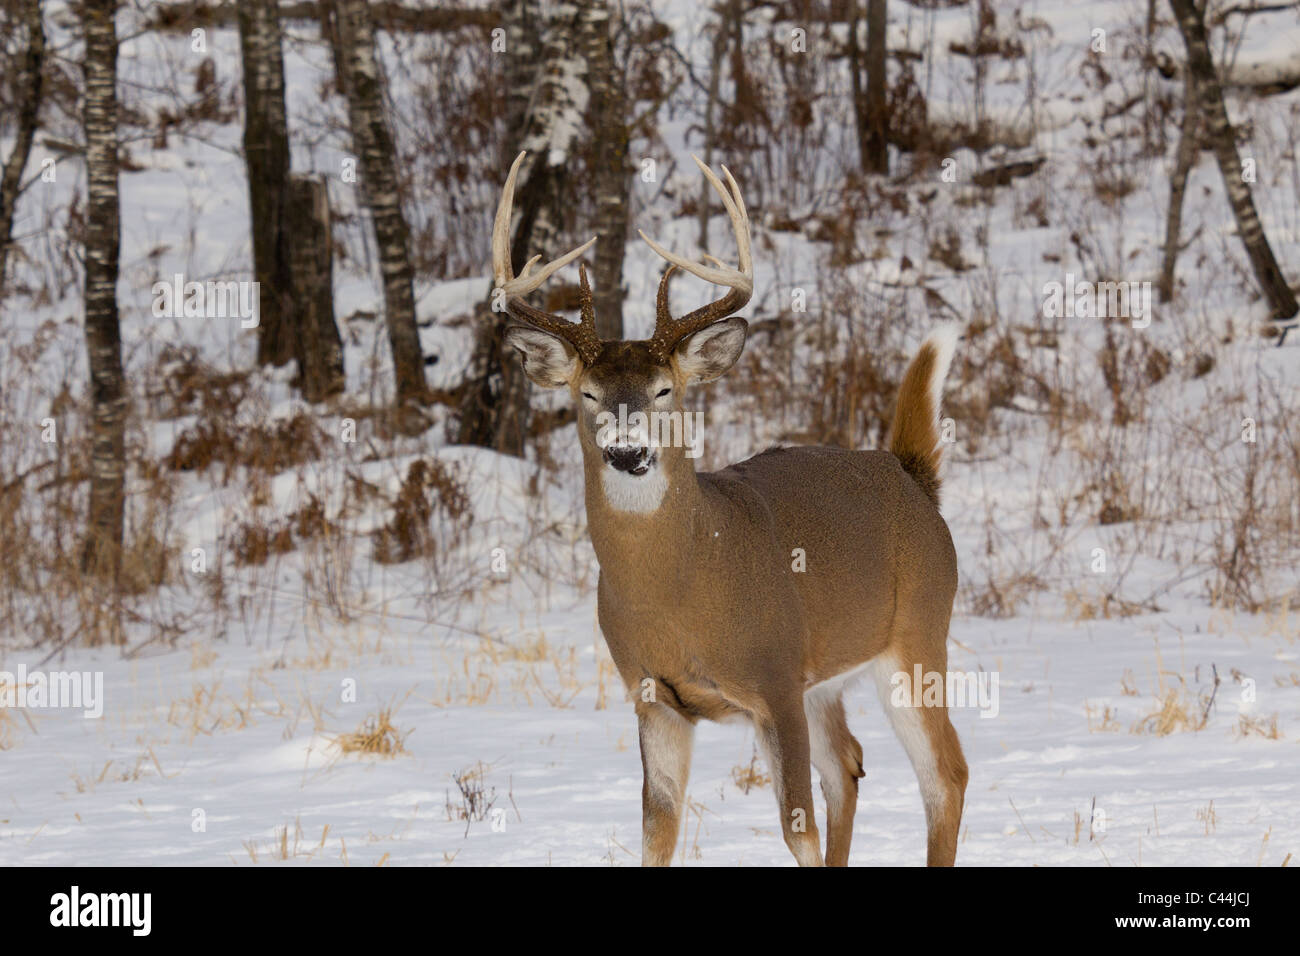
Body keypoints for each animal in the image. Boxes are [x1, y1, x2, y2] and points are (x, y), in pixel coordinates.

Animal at [493, 151, 968, 867]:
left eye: (665, 390)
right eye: (589, 394)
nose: (628, 452)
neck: (682, 591)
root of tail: (911, 475)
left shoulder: (774, 680)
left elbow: (797, 830)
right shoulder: (654, 697)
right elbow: (657, 831)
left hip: (916, 635)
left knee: (945, 774)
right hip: (827, 678)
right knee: (849, 766)